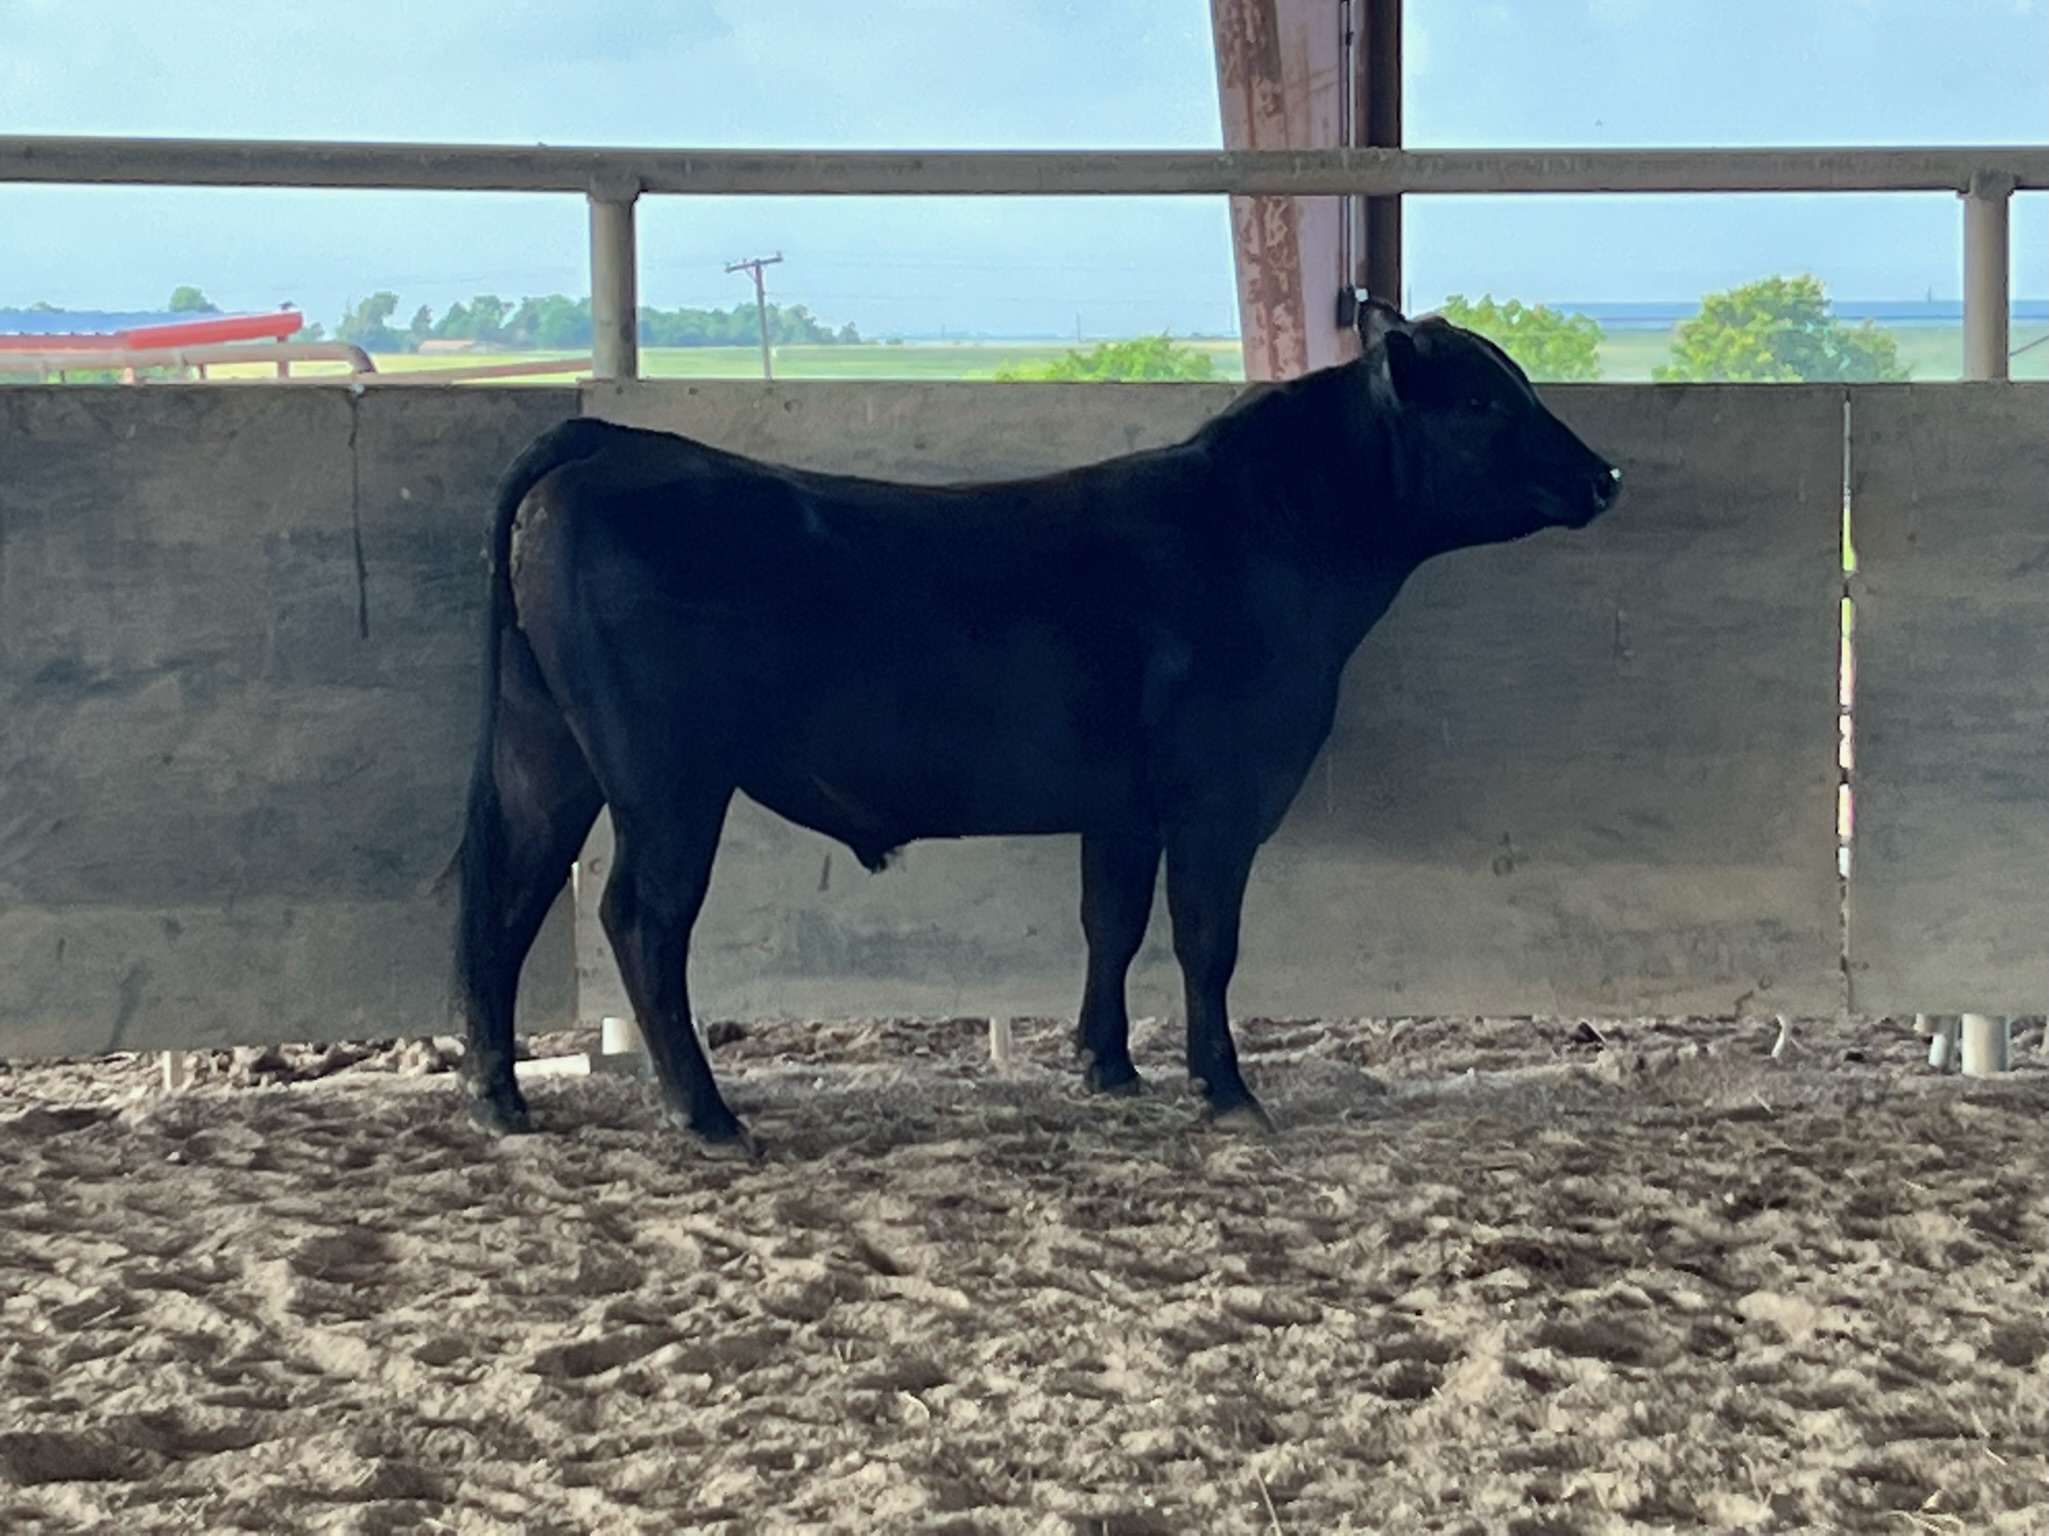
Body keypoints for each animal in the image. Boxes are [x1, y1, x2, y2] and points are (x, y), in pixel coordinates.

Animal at [452, 299, 1620, 1153]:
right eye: (1483, 398)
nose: (1605, 474)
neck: (1269, 536)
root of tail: (606, 440)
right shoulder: (1220, 796)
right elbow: (1206, 940)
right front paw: (1227, 1090)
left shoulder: (1125, 809)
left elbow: (1112, 924)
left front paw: (1109, 1066)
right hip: (668, 776)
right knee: (641, 917)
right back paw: (706, 1114)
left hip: (548, 751)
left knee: (506, 893)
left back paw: (501, 1096)